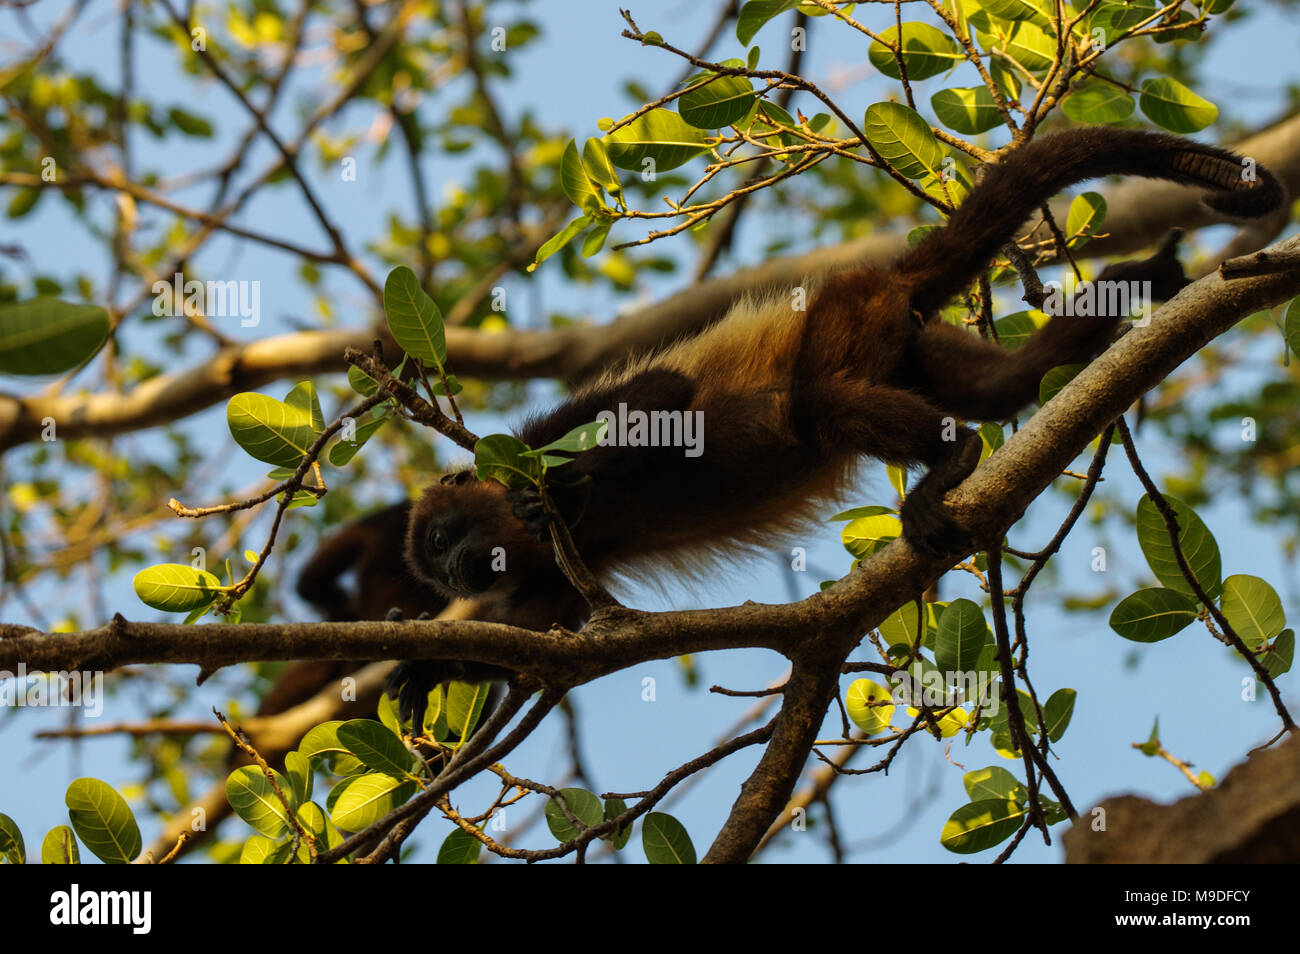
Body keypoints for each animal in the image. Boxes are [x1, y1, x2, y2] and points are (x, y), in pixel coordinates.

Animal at [392, 127, 1284, 713]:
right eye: (443, 572)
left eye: (440, 539)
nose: (462, 573)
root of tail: (883, 275)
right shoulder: (547, 585)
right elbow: (543, 642)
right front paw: (424, 665)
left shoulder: (538, 438)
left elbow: (663, 392)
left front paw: (564, 494)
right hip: (911, 340)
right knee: (999, 392)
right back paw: (1142, 279)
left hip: (846, 314)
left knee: (819, 403)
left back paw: (951, 464)